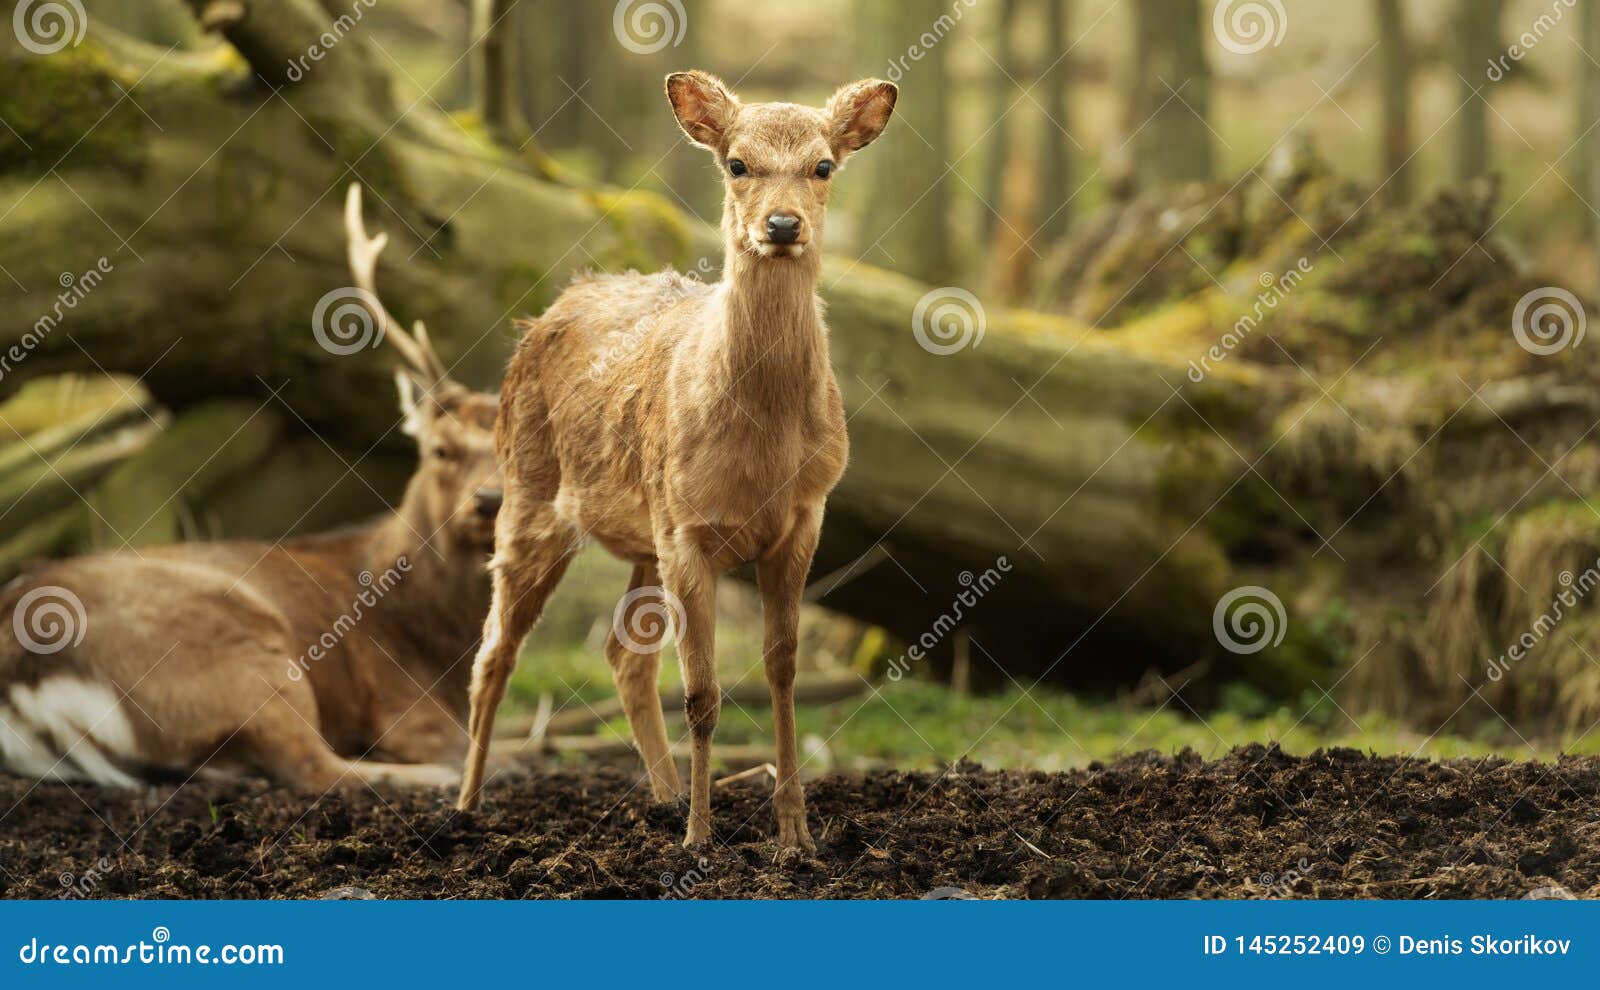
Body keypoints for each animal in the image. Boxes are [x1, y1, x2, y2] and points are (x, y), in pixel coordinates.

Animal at [0, 184, 501, 793]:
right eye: (441, 449)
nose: (490, 501)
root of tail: (19, 678)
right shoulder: (404, 703)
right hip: (235, 645)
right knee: (312, 763)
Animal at [455, 70, 897, 853]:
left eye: (823, 166)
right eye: (737, 163)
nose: (782, 225)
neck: (761, 445)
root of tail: (548, 310)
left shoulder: (804, 518)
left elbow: (781, 673)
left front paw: (795, 836)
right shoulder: (687, 528)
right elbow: (701, 693)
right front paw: (700, 841)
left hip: (640, 535)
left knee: (623, 658)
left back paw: (661, 798)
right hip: (530, 489)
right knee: (494, 652)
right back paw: (467, 808)